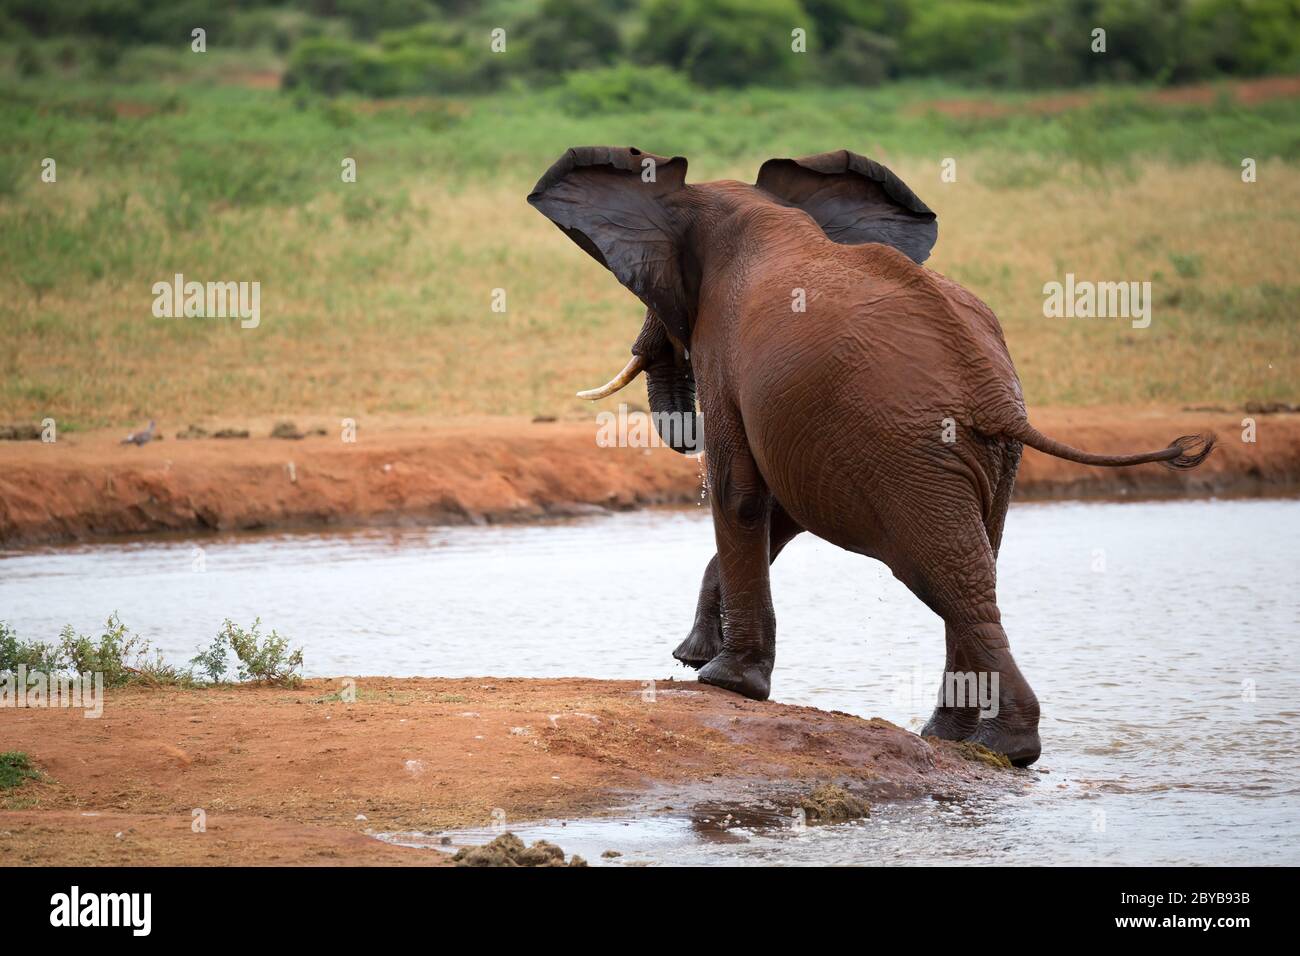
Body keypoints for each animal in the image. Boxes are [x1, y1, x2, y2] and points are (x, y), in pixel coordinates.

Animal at [528, 146, 1215, 765]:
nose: (685, 657)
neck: (749, 206)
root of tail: (992, 393)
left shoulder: (725, 350)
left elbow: (740, 493)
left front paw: (722, 680)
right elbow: (782, 510)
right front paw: (699, 657)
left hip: (910, 450)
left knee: (943, 575)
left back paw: (1002, 748)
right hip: (973, 456)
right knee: (972, 571)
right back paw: (952, 738)